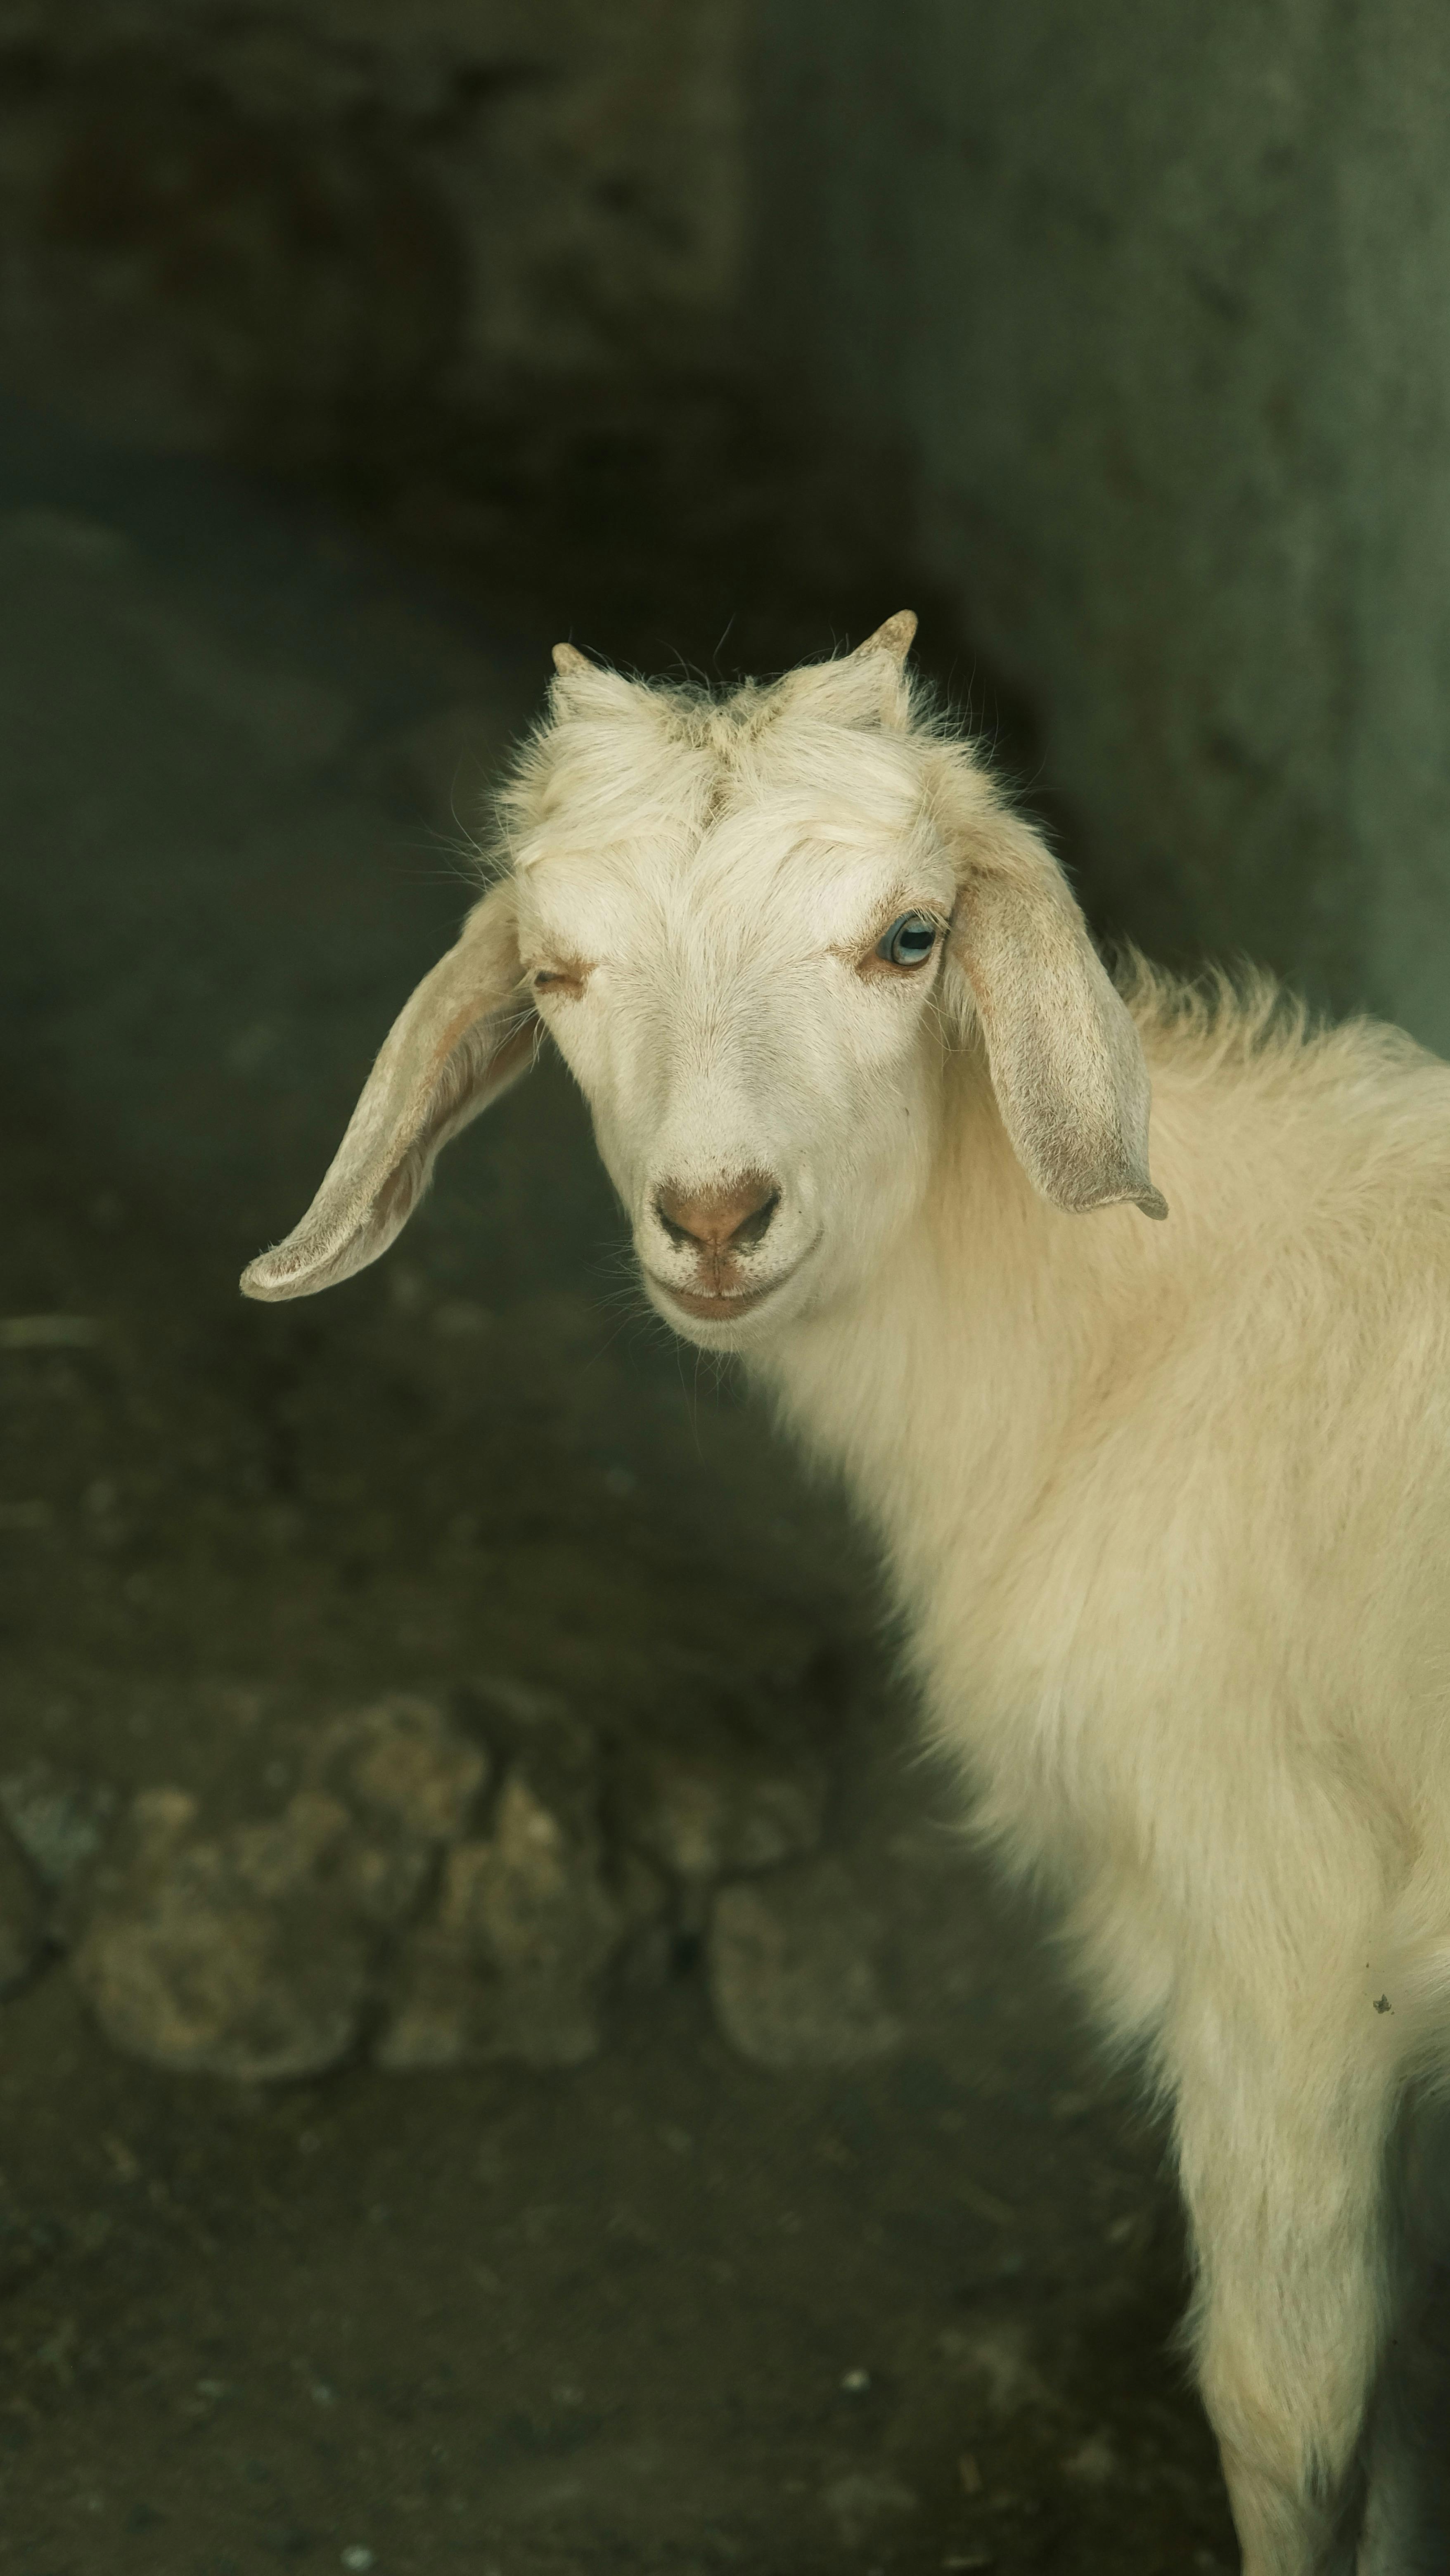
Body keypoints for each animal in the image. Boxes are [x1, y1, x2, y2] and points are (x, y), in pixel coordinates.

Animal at [242, 614, 1450, 2574]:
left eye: (908, 936)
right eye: (558, 969)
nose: (716, 1218)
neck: (1128, 1332)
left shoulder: (1282, 1945)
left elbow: (1296, 2414)